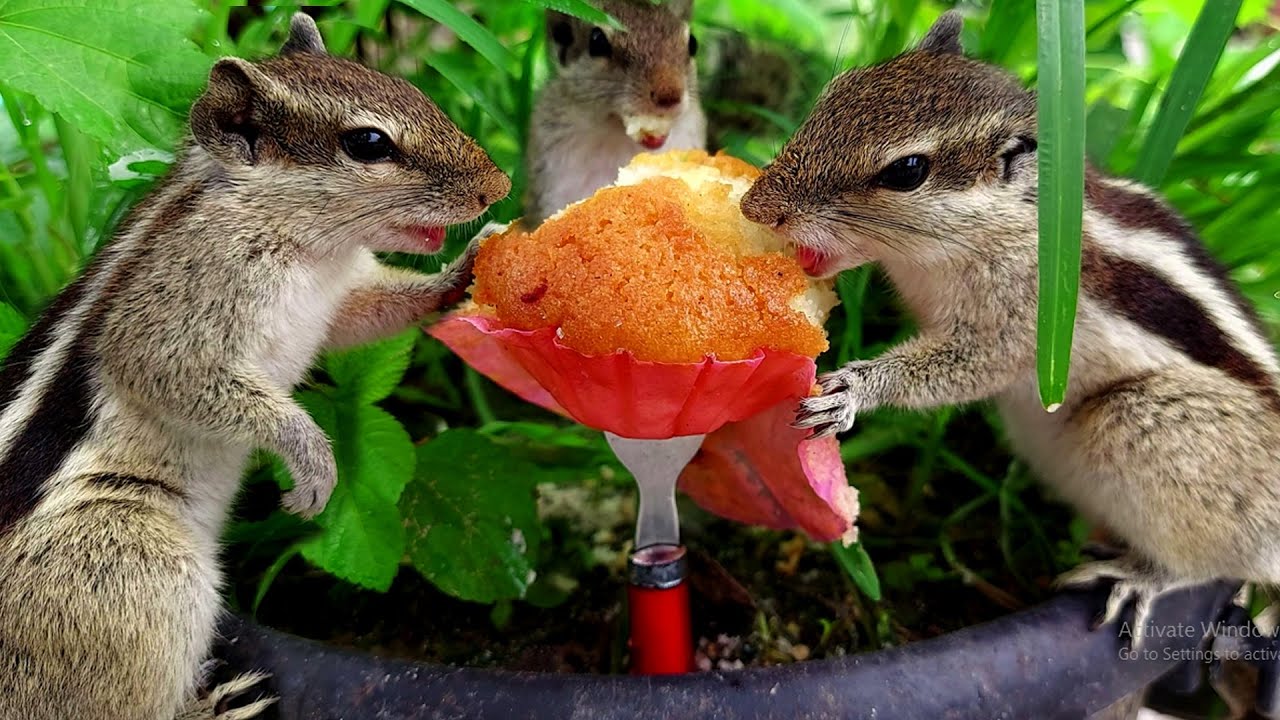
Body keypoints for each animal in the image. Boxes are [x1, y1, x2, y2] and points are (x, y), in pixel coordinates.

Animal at [0, 13, 509, 720]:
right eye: (369, 143)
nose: (499, 187)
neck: (302, 241)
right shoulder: (174, 314)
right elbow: (173, 373)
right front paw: (312, 459)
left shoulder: (338, 297)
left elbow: (370, 312)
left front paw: (466, 267)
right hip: (137, 565)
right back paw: (216, 706)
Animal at [742, 11, 1280, 646]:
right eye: (837, 90)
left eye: (907, 171)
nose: (754, 207)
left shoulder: (1017, 326)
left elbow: (965, 367)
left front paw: (855, 390)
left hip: (1145, 425)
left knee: (1210, 567)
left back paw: (1139, 577)